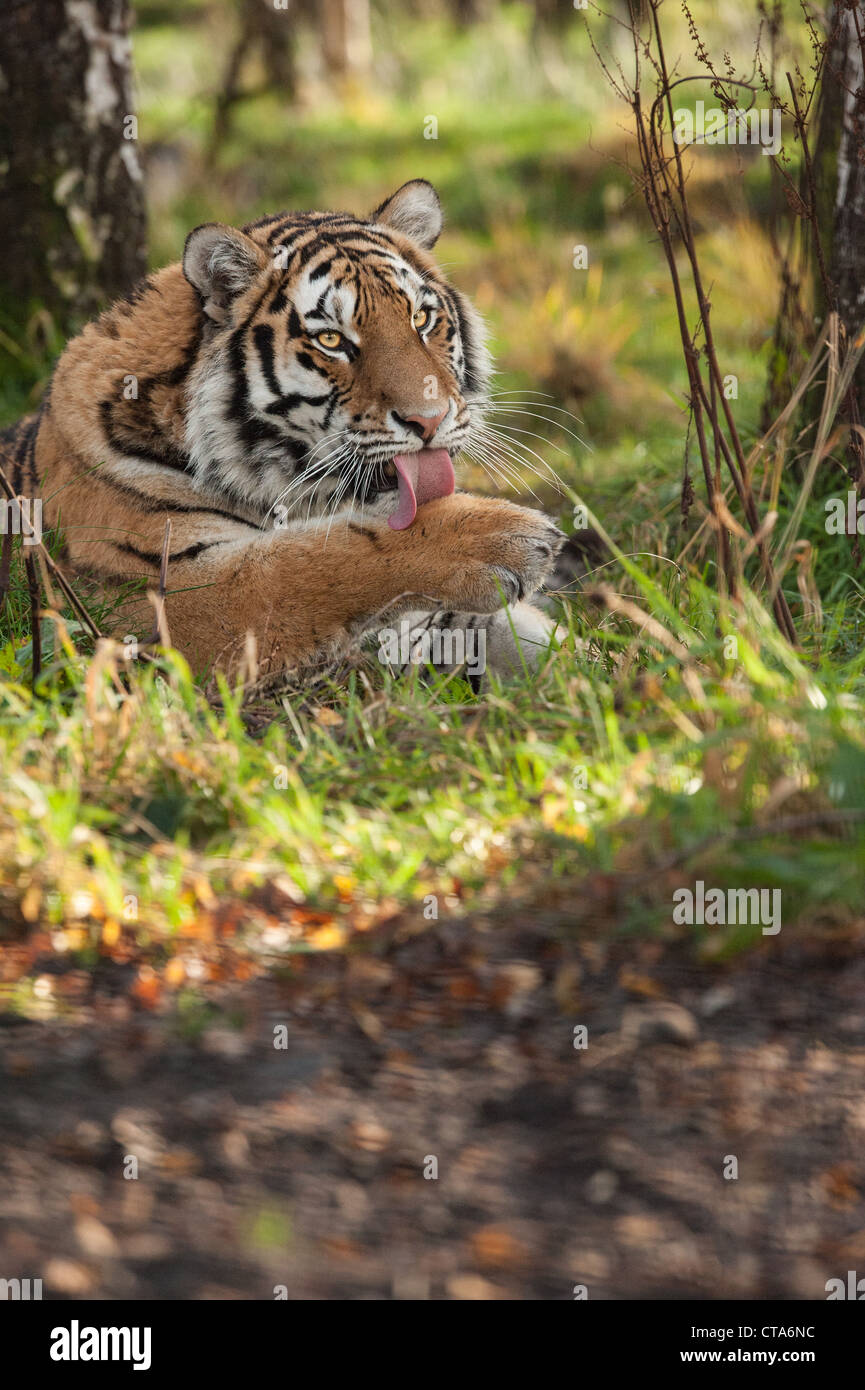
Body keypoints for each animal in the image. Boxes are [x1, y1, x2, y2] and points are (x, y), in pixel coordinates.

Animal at [0, 179, 565, 682]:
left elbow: (541, 644)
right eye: (332, 340)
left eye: (422, 319)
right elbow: (323, 559)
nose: (429, 420)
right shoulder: (182, 593)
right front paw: (507, 538)